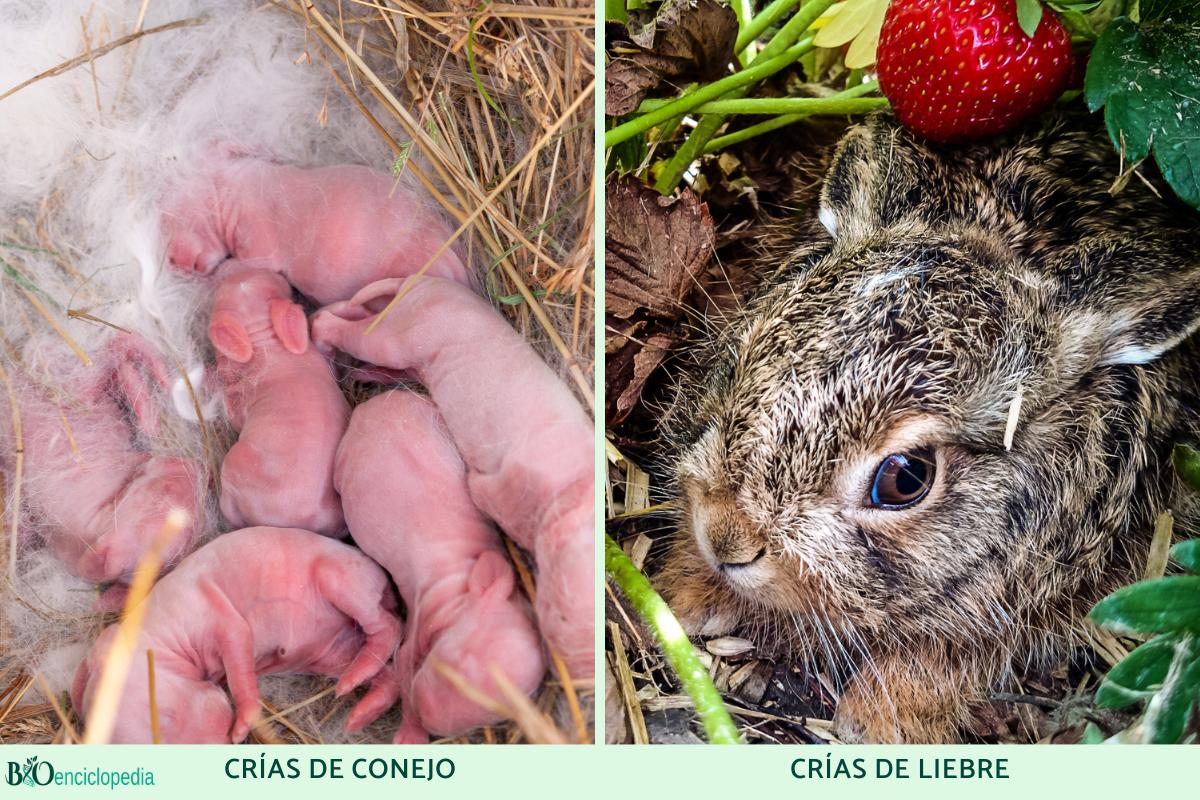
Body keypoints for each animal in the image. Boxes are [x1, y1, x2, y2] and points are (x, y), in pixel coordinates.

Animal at [653, 111, 1200, 743]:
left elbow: (951, 658)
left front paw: (872, 721)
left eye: (905, 479)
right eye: (739, 362)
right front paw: (683, 595)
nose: (726, 538)